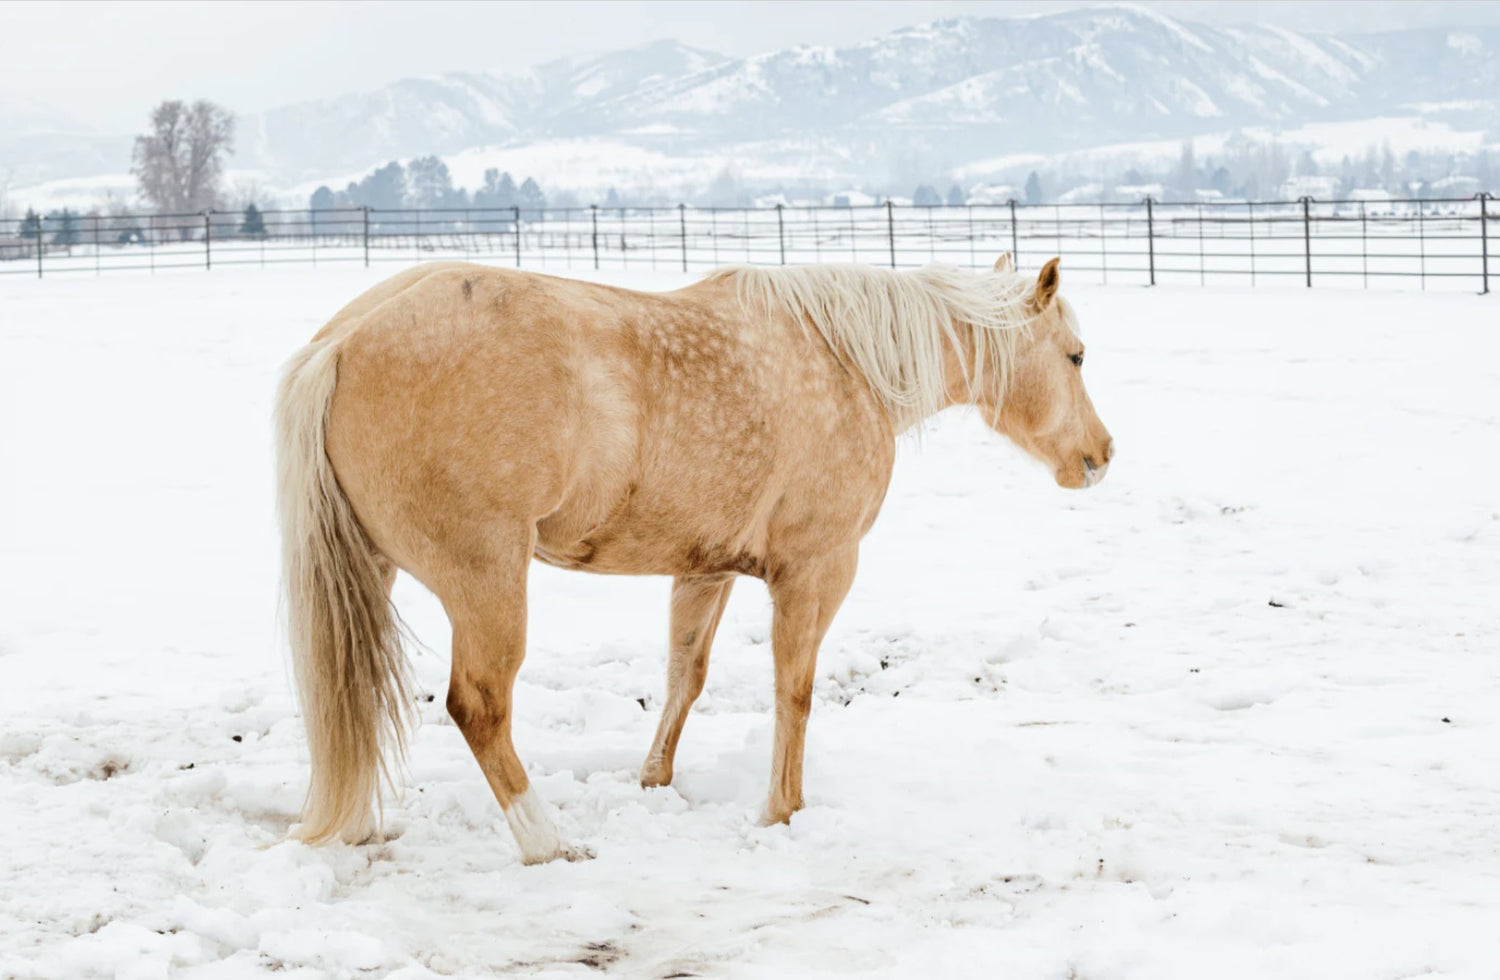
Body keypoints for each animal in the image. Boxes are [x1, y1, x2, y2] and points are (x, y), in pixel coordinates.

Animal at [274, 252, 1113, 864]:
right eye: (1074, 357)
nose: (1100, 456)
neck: (845, 362)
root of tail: (345, 341)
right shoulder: (817, 571)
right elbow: (794, 691)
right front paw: (783, 810)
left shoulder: (704, 570)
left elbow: (685, 676)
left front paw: (655, 780)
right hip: (487, 582)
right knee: (479, 706)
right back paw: (547, 843)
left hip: (373, 572)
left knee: (353, 691)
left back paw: (355, 825)